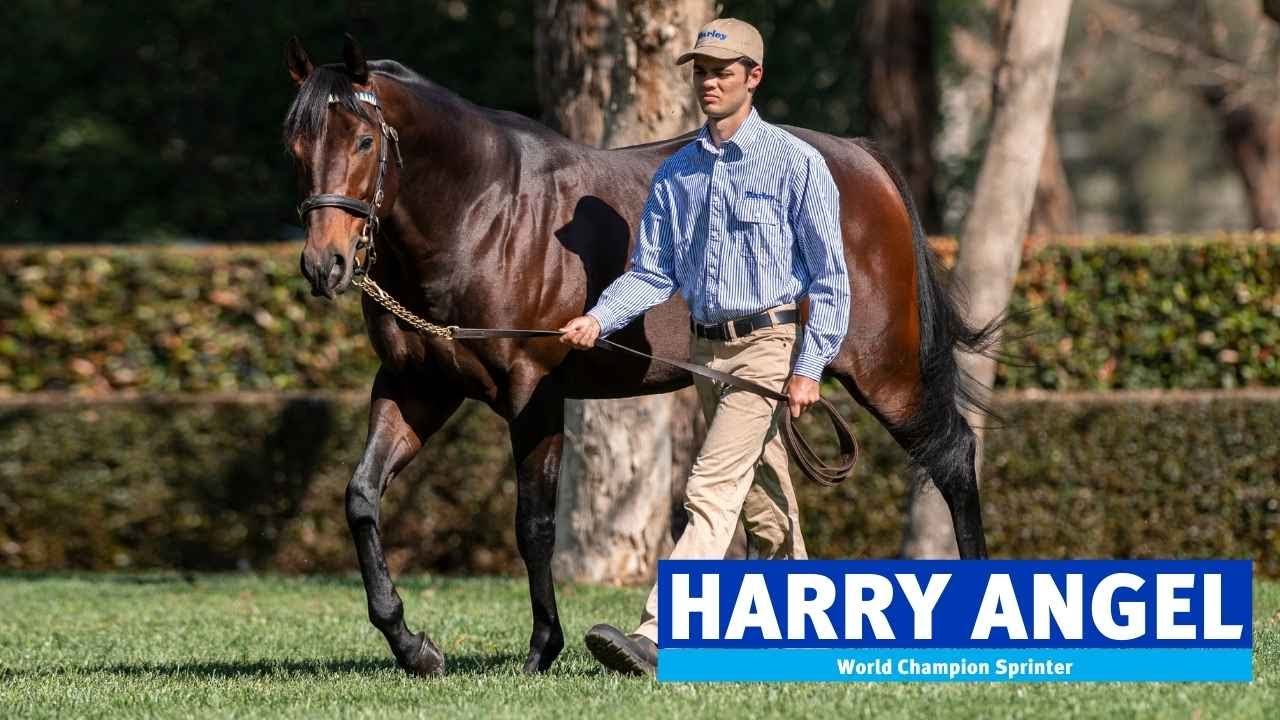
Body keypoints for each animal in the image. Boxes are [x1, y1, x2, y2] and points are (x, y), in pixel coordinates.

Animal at [283, 35, 995, 677]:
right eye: (297, 145)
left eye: (364, 142)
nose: (325, 265)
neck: (483, 211)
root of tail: (862, 160)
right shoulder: (417, 386)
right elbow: (362, 497)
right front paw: (413, 646)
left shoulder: (534, 394)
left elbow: (533, 523)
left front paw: (542, 649)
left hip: (885, 373)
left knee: (953, 456)